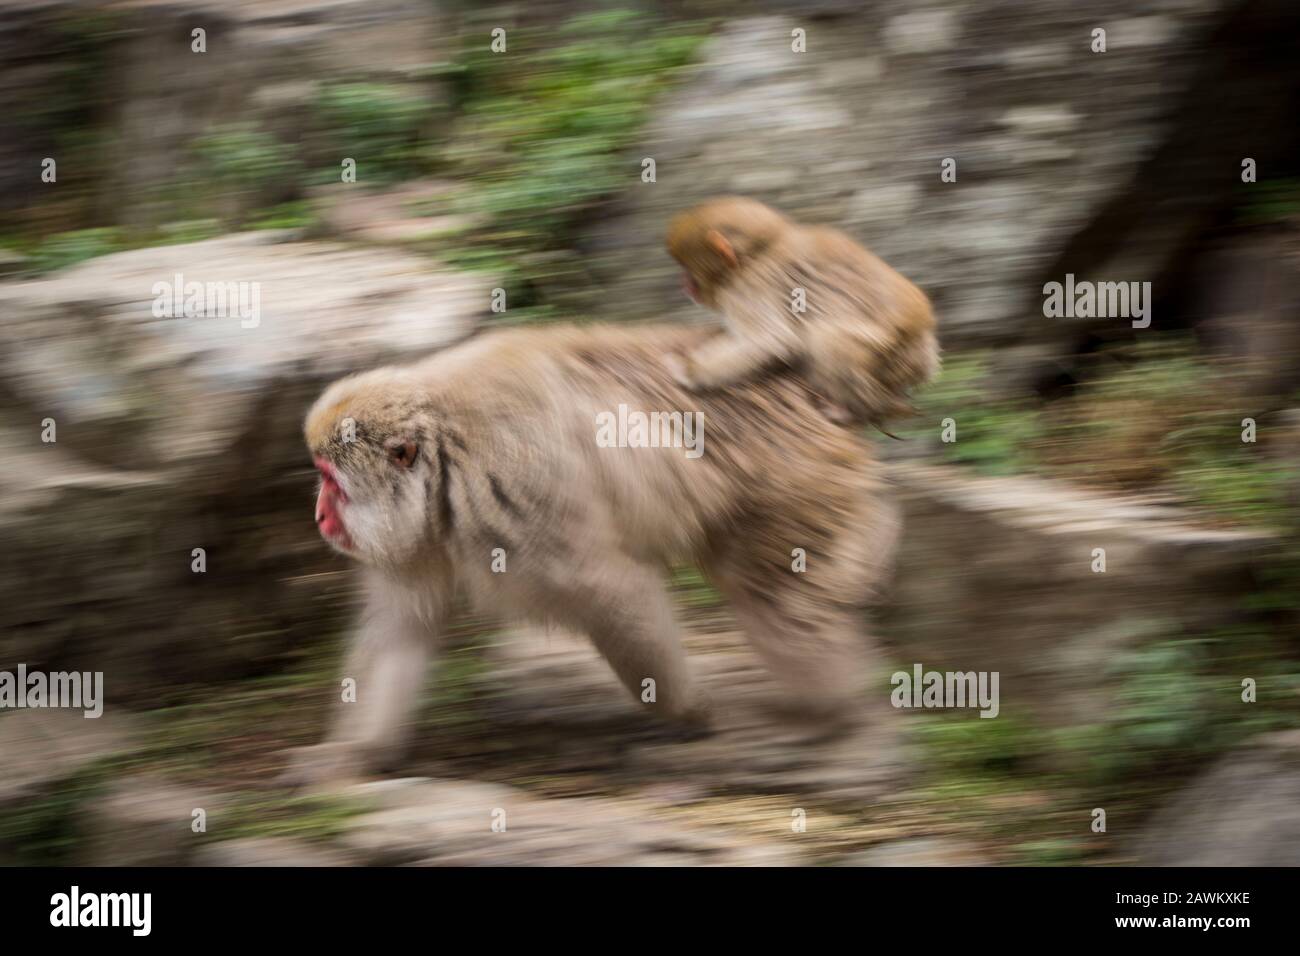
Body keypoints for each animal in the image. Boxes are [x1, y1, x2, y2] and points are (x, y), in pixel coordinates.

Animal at [282, 322, 900, 787]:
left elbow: (613, 590)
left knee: (778, 599)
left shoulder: (519, 489)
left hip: (798, 485)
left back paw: (825, 714)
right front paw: (353, 755)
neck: (443, 463)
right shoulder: (415, 538)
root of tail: (812, 397)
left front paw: (686, 710)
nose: (319, 516)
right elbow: (402, 626)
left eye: (331, 482)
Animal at [664, 196, 939, 429]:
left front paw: (689, 370)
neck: (758, 253)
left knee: (829, 339)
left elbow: (768, 342)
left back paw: (851, 410)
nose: (682, 285)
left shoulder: (750, 288)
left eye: (687, 271)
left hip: (893, 356)